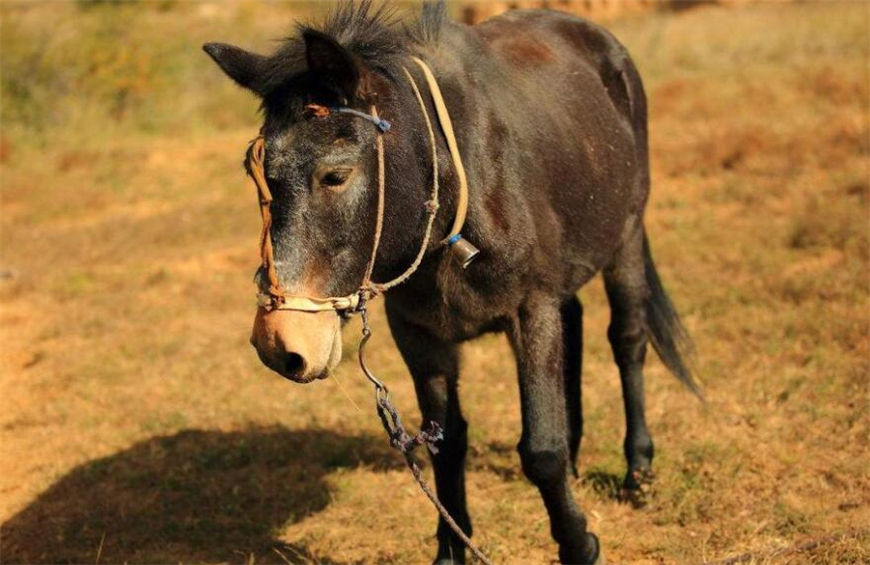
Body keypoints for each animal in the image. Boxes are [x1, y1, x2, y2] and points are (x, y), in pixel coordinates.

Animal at [204, 2, 699, 563]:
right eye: (257, 177)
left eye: (335, 176)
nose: (278, 343)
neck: (457, 196)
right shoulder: (419, 334)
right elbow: (444, 444)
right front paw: (451, 549)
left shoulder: (530, 311)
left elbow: (540, 450)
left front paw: (579, 543)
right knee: (574, 323)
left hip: (627, 236)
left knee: (628, 341)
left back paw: (638, 469)